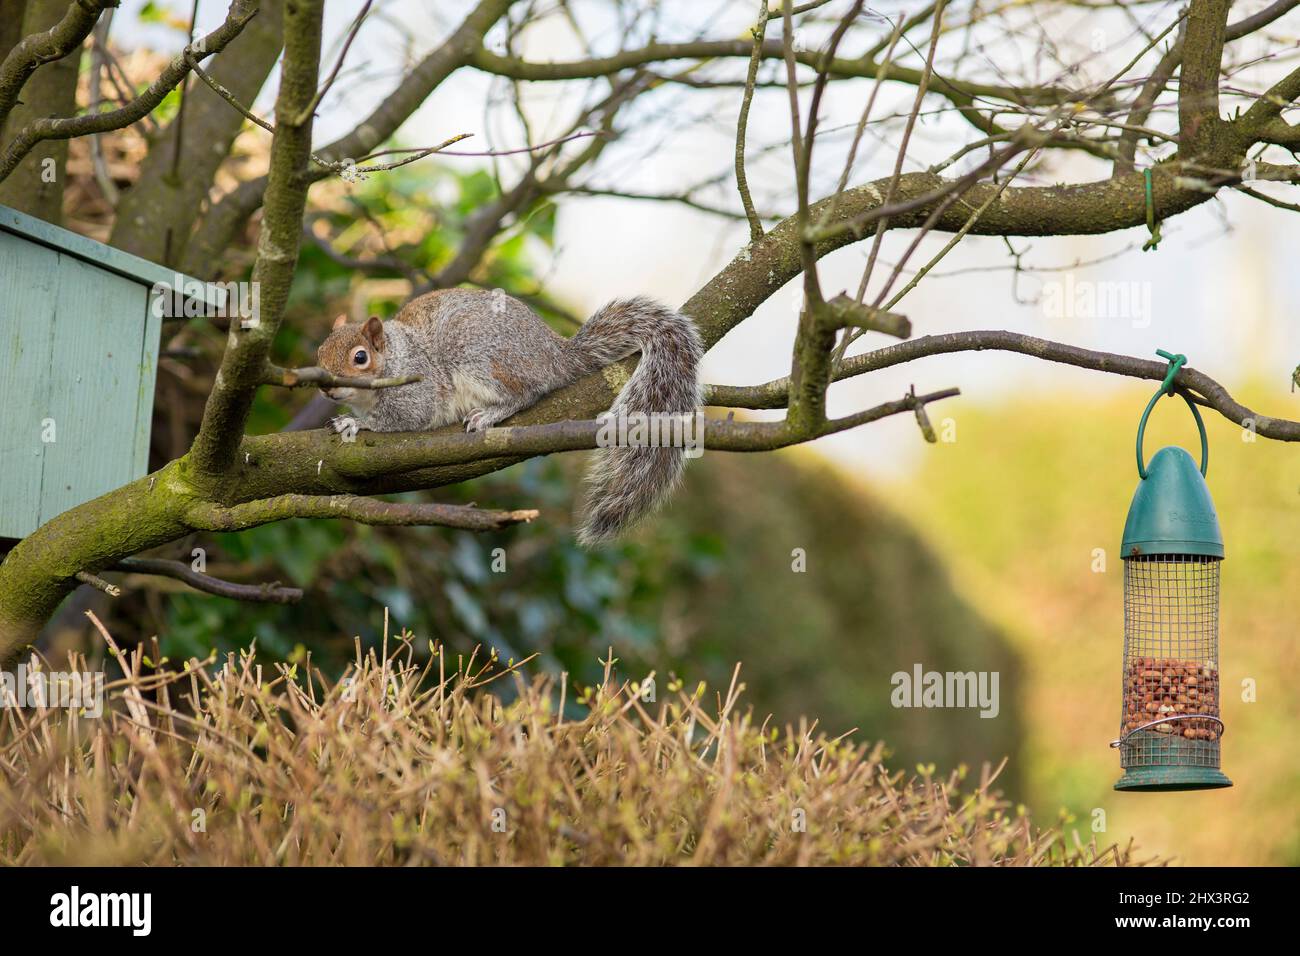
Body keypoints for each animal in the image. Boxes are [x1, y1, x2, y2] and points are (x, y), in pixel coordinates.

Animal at [316, 288, 702, 545]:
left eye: (360, 357)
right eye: (319, 351)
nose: (325, 389)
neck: (396, 356)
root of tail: (554, 355)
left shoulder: (417, 389)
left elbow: (402, 418)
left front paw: (355, 423)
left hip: (479, 355)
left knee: (526, 392)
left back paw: (490, 413)